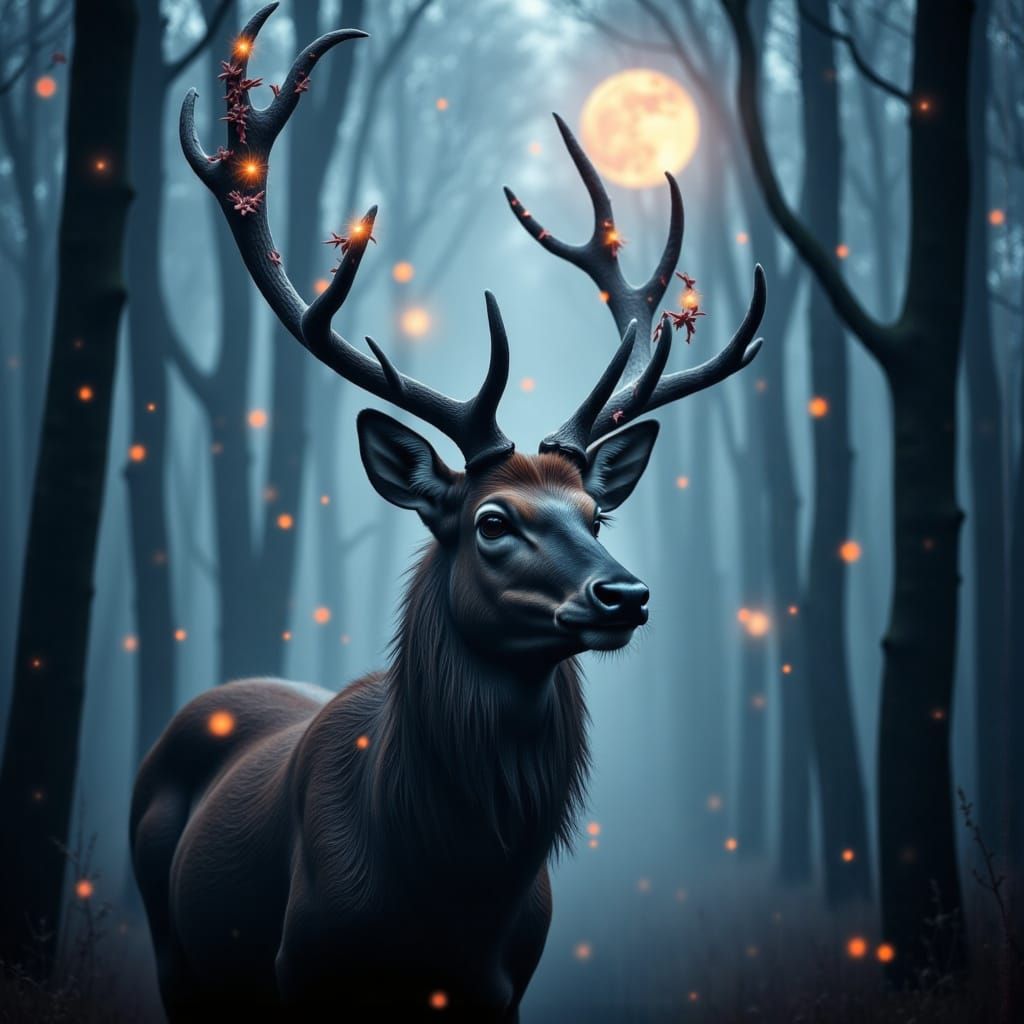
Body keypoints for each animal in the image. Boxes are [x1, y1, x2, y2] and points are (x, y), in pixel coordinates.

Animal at [130, 5, 766, 1020]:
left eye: (596, 513)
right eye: (493, 521)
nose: (624, 596)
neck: (437, 892)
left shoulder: (503, 984)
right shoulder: (300, 966)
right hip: (176, 952)